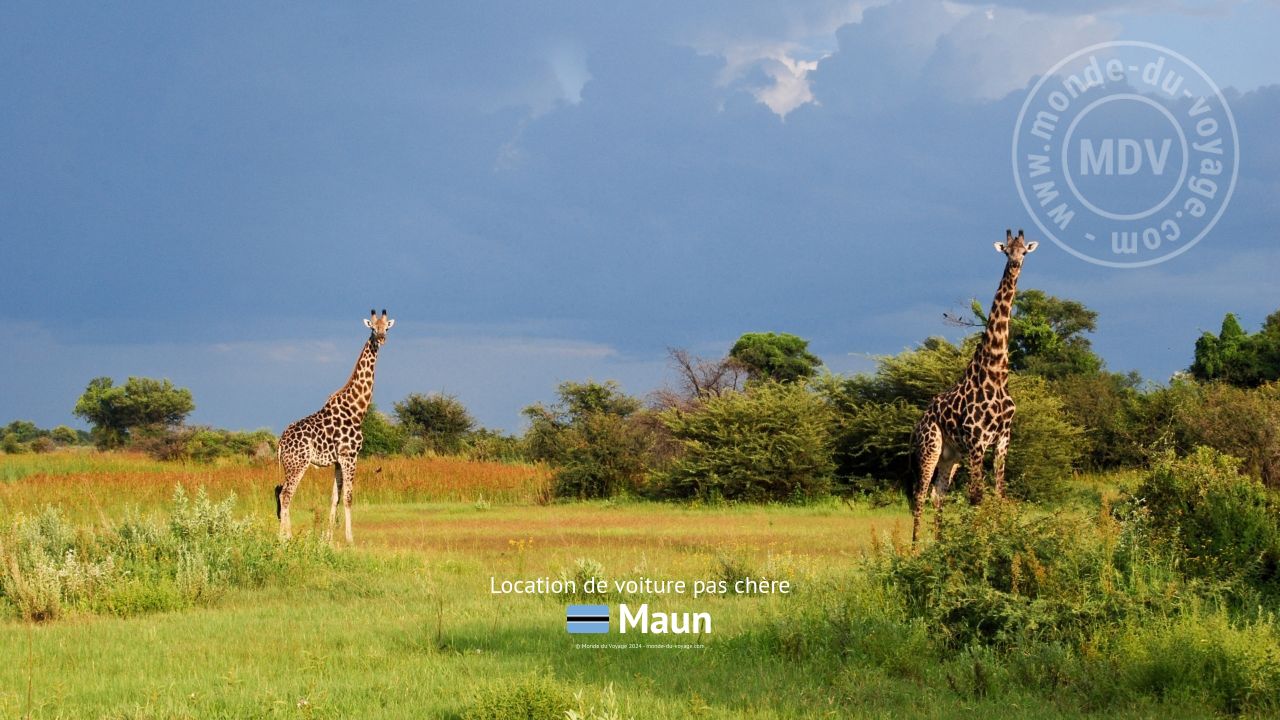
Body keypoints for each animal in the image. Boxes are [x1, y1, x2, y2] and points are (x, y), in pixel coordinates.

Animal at [279, 304, 394, 540]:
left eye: (386, 327)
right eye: (372, 328)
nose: (381, 338)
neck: (357, 410)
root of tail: (280, 443)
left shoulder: (338, 461)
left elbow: (335, 497)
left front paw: (328, 537)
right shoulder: (350, 455)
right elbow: (349, 497)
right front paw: (350, 538)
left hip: (290, 465)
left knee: (281, 492)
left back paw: (284, 536)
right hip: (298, 464)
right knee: (286, 495)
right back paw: (286, 538)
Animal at [911, 229, 1039, 543]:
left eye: (1024, 252)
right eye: (1006, 251)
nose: (1015, 265)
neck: (995, 373)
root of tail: (920, 420)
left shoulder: (1003, 439)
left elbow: (998, 494)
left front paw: (998, 538)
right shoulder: (977, 441)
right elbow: (976, 496)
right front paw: (980, 543)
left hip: (952, 455)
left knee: (938, 493)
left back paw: (939, 544)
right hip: (930, 446)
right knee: (920, 493)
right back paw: (914, 547)